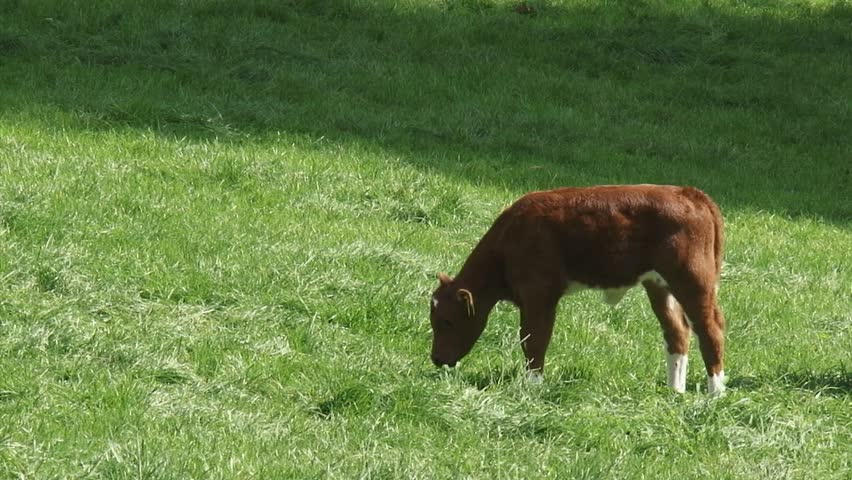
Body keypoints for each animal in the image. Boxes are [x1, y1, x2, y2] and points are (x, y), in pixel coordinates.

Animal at [429, 185, 726, 395]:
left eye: (447, 321)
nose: (436, 359)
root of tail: (689, 193)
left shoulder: (539, 293)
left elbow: (533, 338)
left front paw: (533, 387)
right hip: (658, 284)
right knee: (677, 331)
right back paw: (675, 391)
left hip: (692, 280)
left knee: (710, 329)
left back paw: (715, 395)